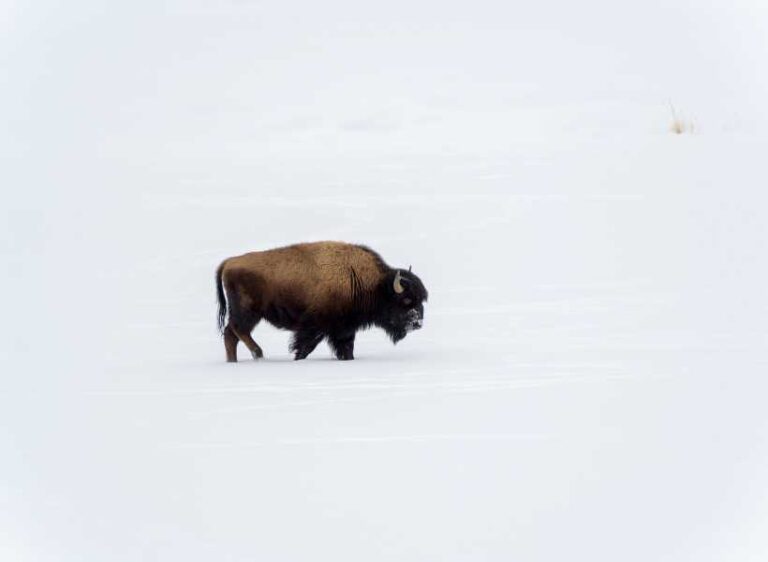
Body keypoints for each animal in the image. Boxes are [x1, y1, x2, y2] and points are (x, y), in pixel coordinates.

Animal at [215, 241, 428, 361]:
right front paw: (297, 359)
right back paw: (258, 353)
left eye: (421, 300)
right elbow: (304, 347)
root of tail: (229, 262)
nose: (417, 323)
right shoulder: (315, 328)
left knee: (231, 334)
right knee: (237, 331)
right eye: (406, 300)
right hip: (248, 312)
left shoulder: (344, 330)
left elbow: (346, 349)